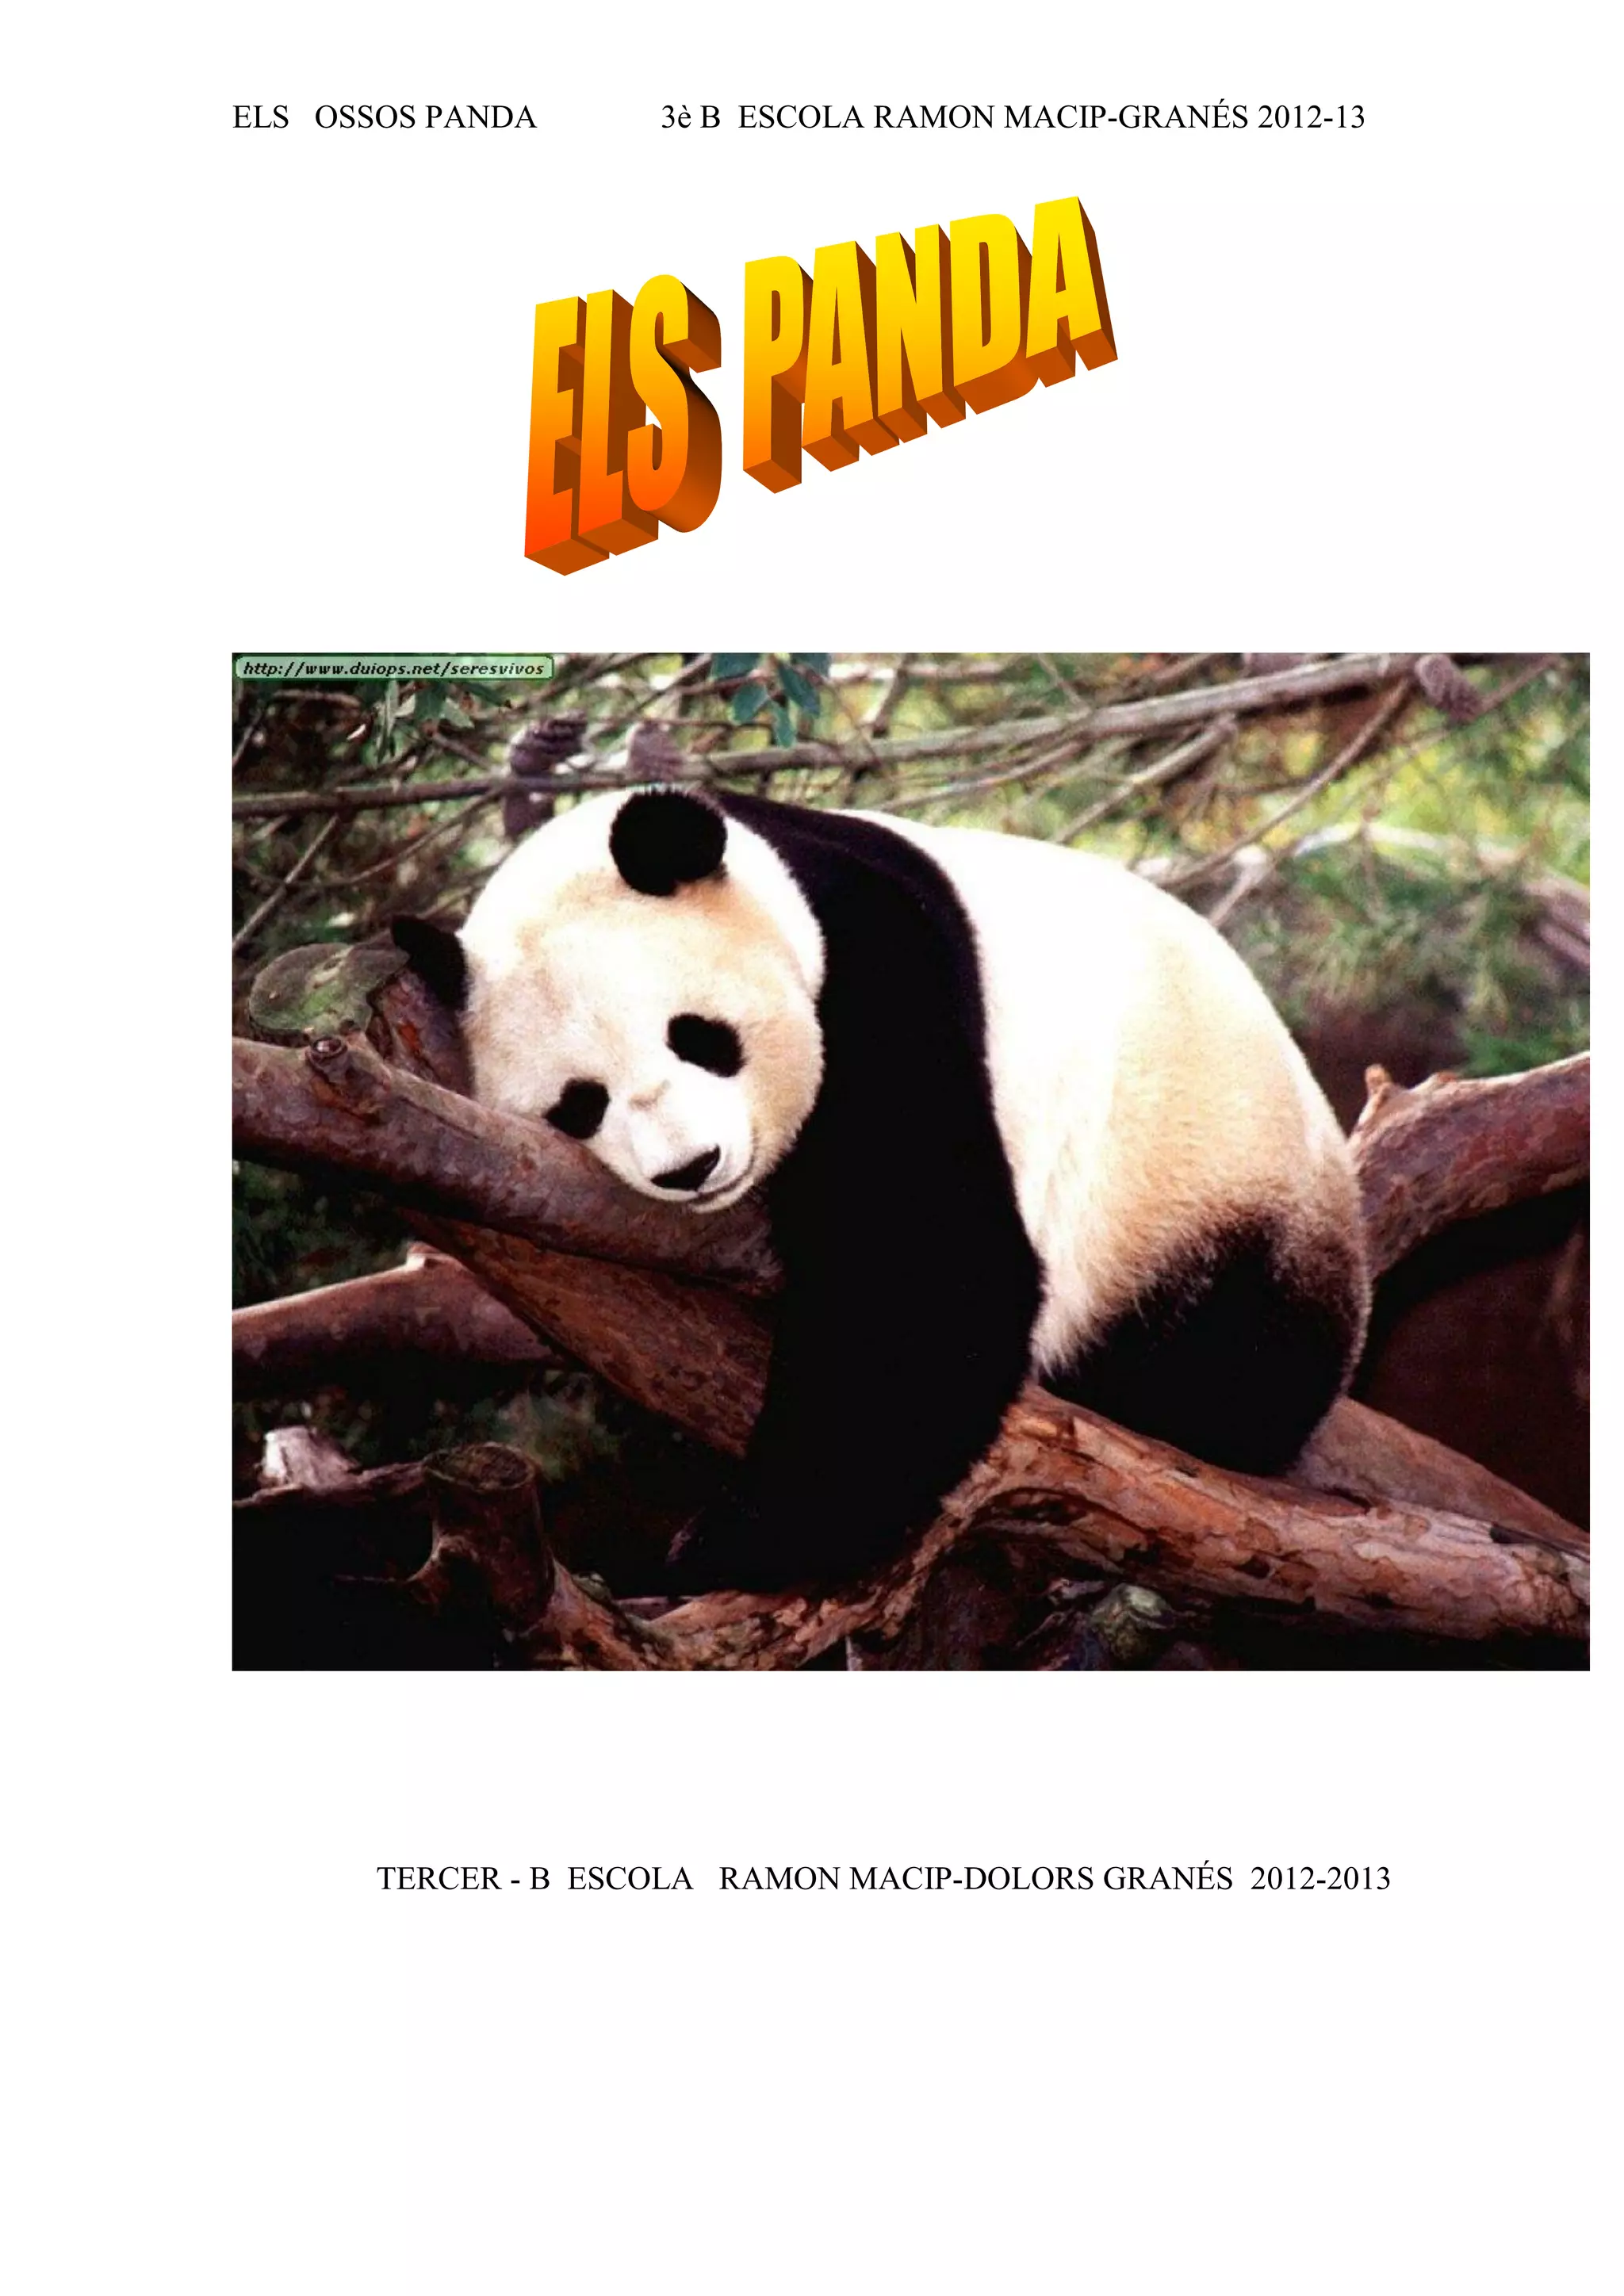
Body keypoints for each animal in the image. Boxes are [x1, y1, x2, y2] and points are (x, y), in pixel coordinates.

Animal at [393, 785, 1369, 1591]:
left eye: (699, 1036)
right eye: (580, 1103)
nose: (691, 1167)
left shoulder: (881, 970)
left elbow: (925, 1273)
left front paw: (732, 1542)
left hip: (1205, 1182)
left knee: (1231, 1364)